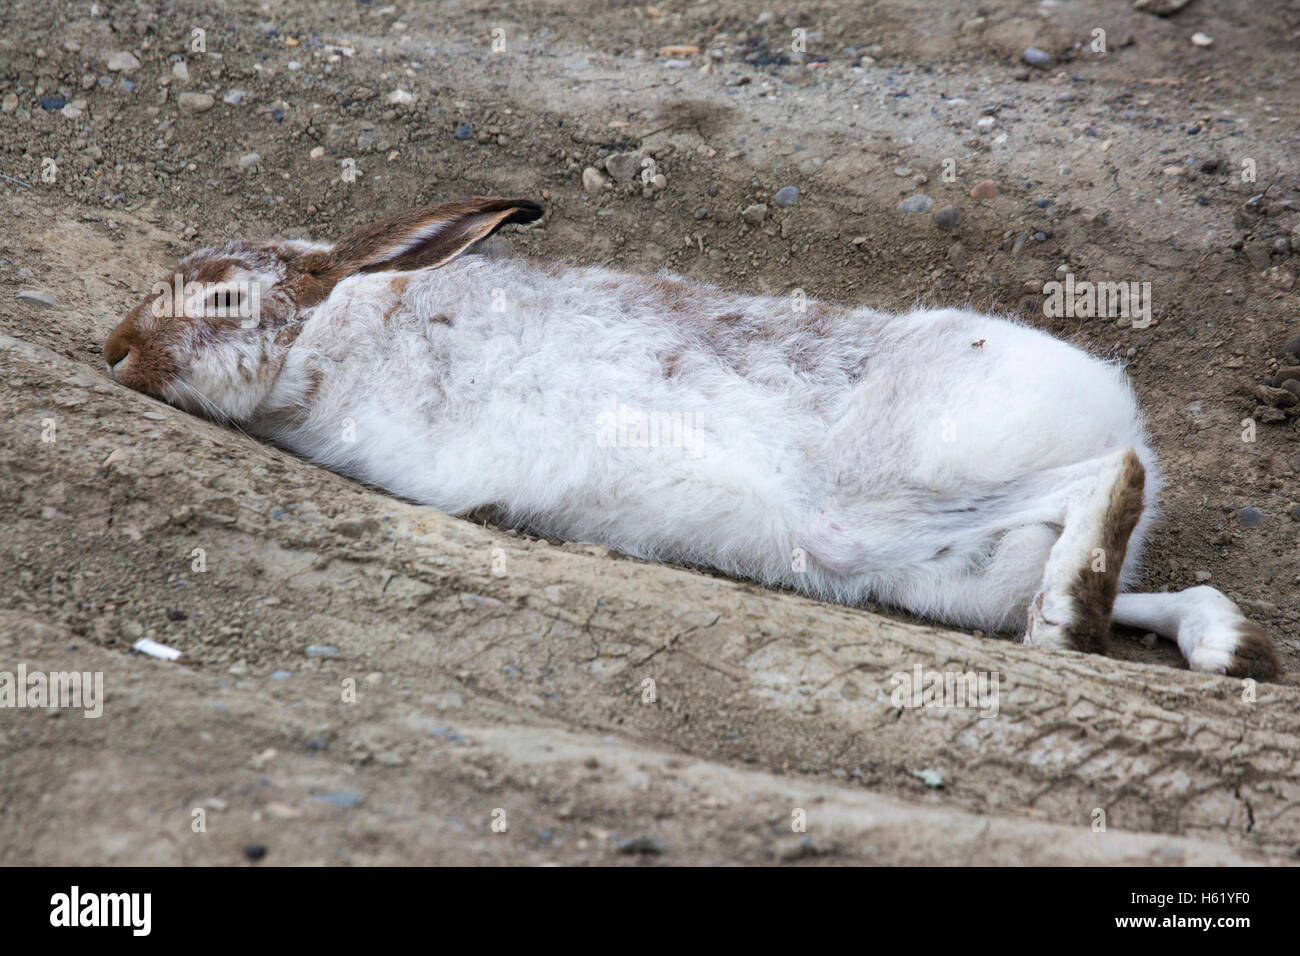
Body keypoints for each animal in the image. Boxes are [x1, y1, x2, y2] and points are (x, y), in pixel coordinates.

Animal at [103, 196, 1281, 680]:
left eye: (219, 296)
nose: (113, 349)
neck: (325, 330)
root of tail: (1119, 404)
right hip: (941, 565)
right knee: (1097, 578)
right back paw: (1216, 641)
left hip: (905, 487)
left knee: (1102, 482)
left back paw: (1086, 610)